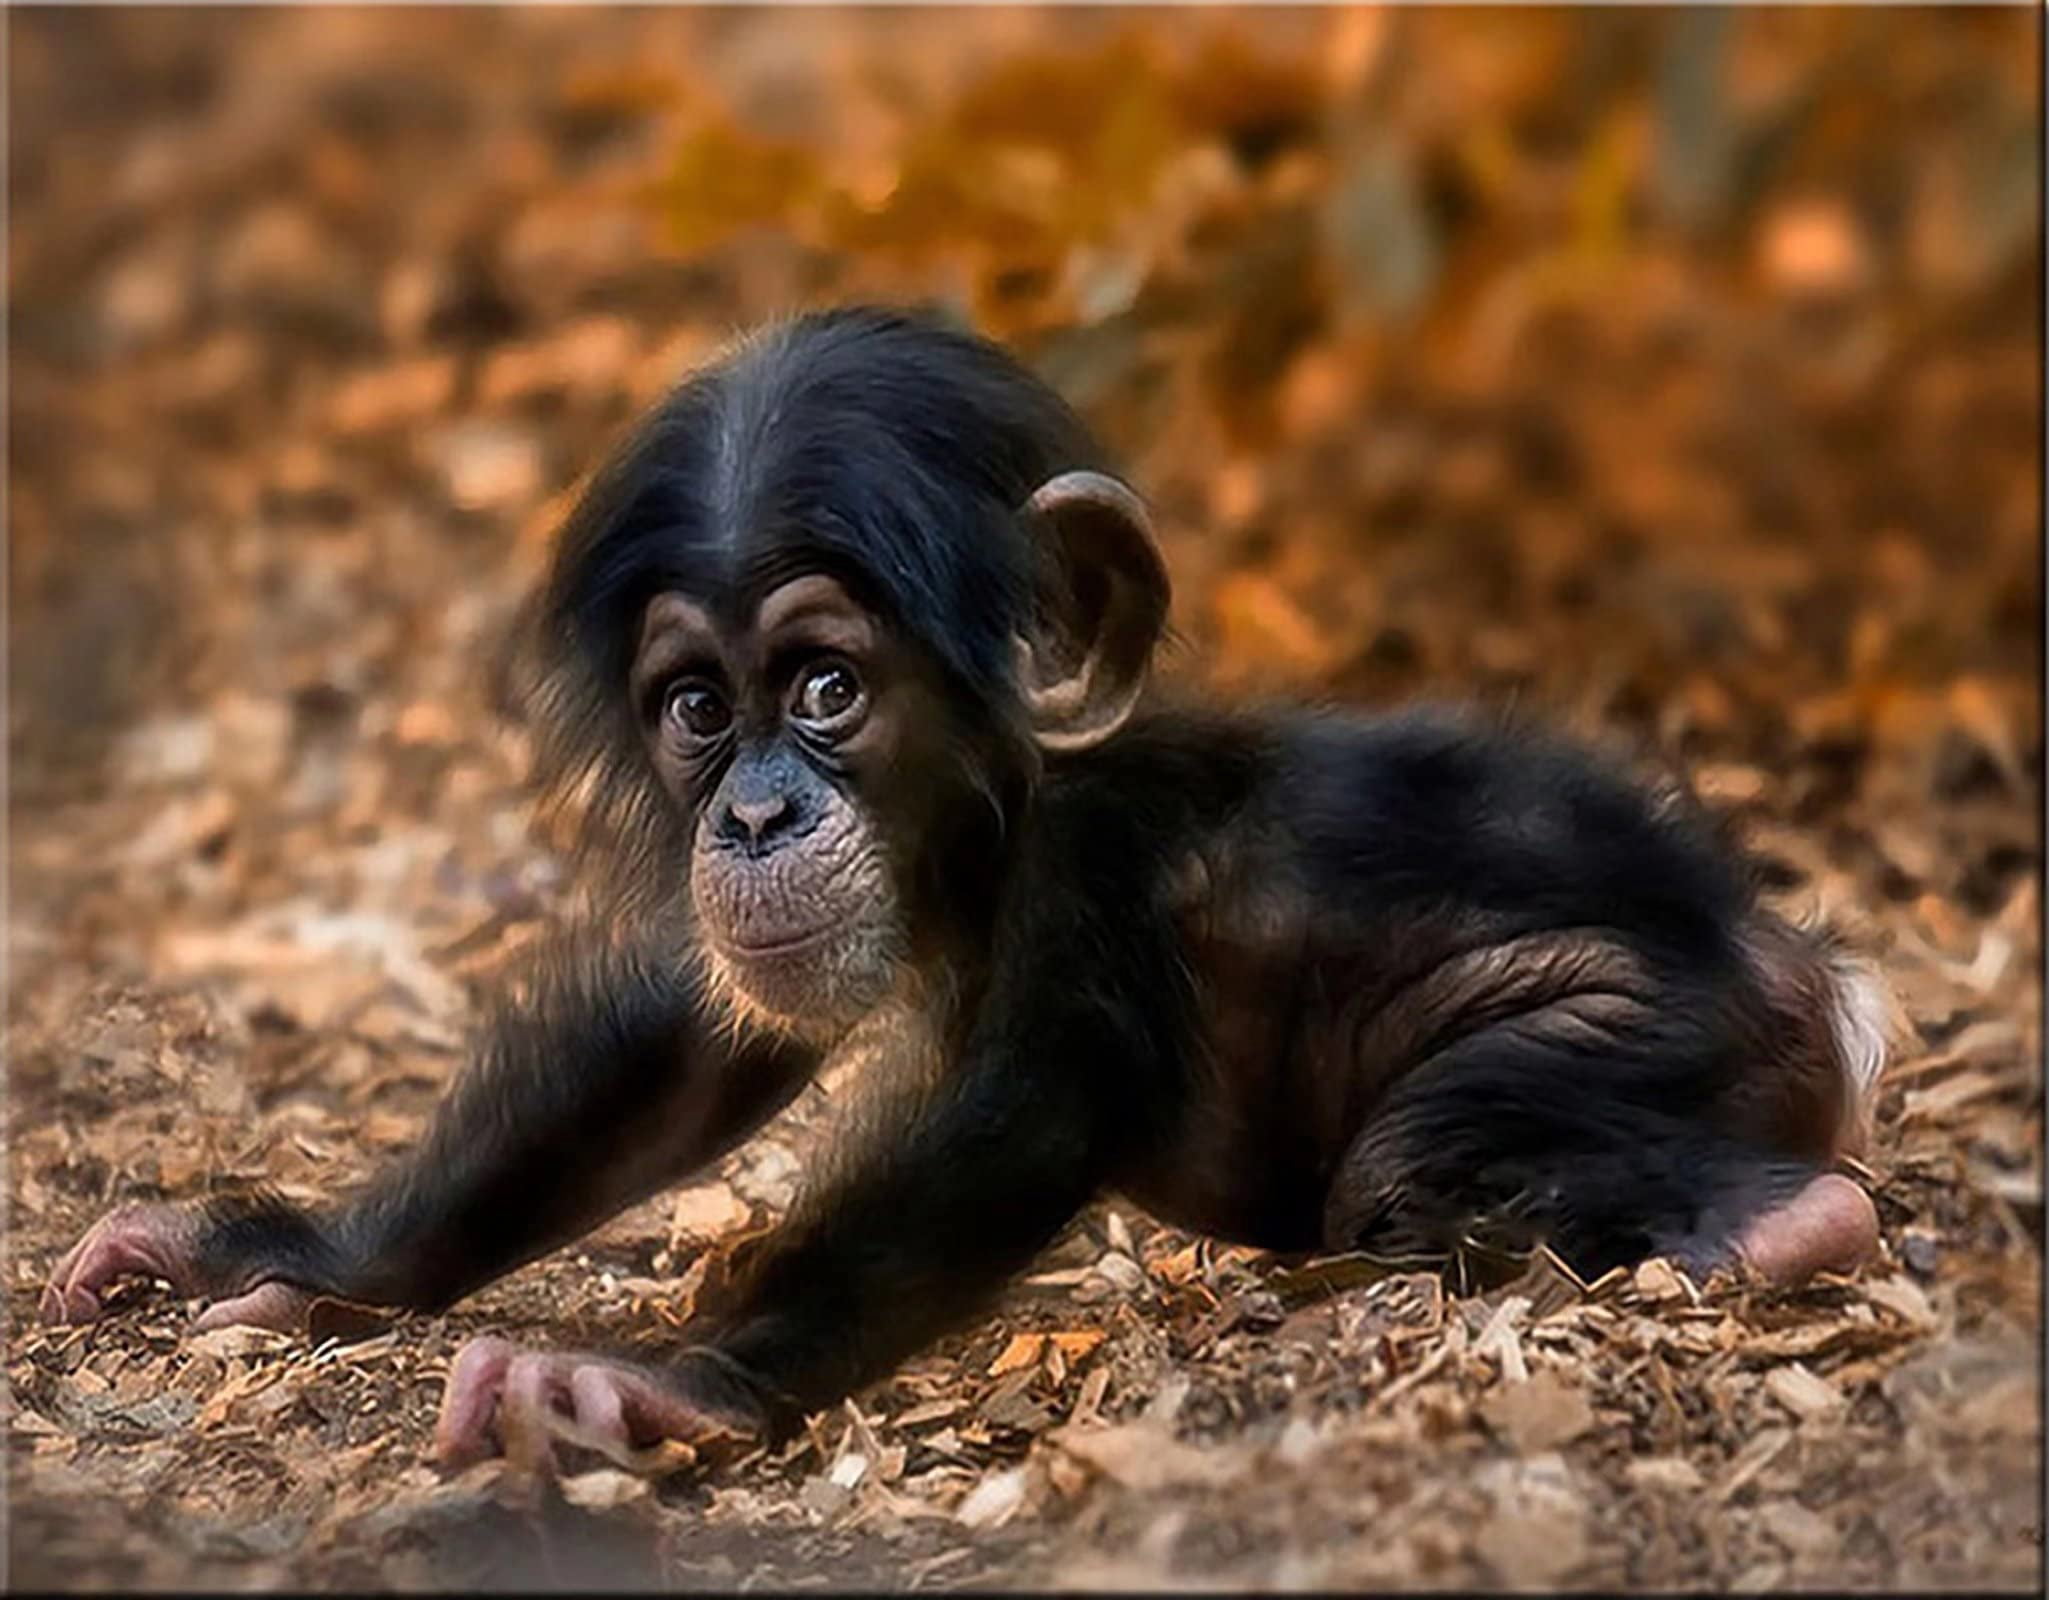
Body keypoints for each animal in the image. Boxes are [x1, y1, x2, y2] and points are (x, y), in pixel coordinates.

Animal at [43, 306, 1891, 1474]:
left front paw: (653, 1386)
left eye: (825, 686)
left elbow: (1009, 1124)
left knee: (1421, 1157)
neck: (997, 821)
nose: (754, 814)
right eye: (697, 708)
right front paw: (290, 1254)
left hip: (1650, 1022)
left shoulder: (1089, 900)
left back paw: (1779, 1223)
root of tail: (1818, 975)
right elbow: (683, 1053)